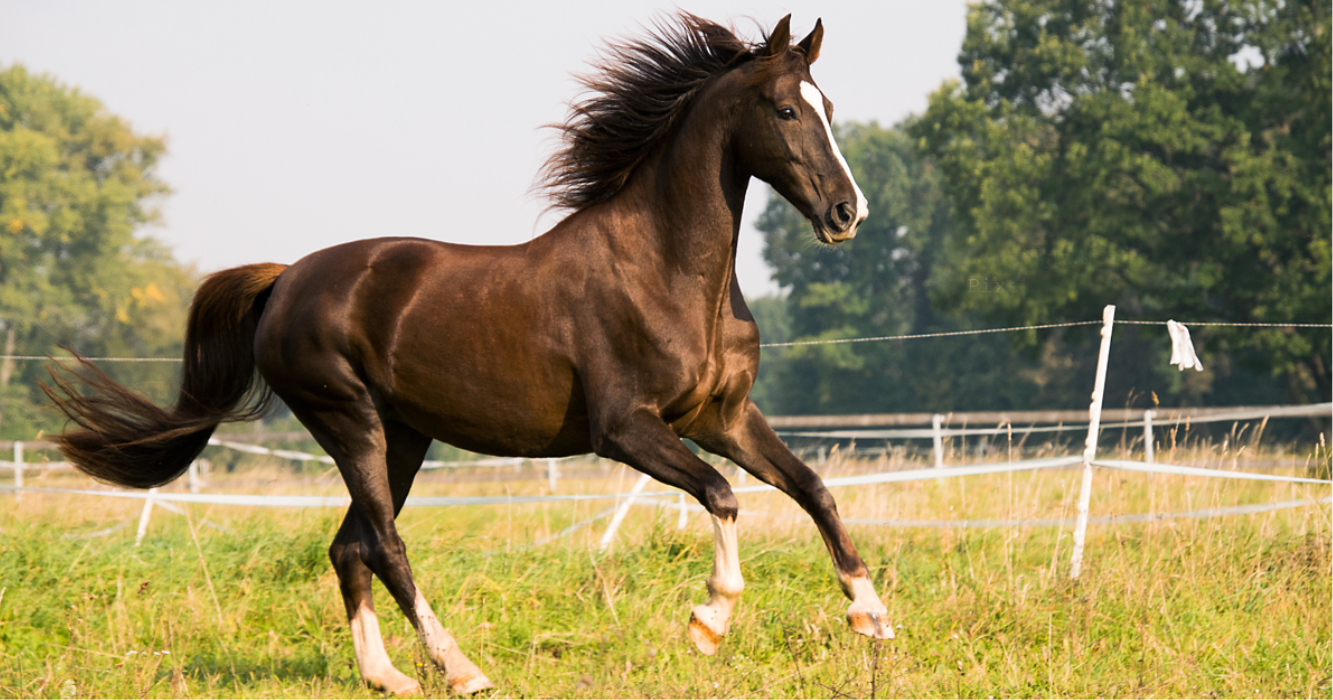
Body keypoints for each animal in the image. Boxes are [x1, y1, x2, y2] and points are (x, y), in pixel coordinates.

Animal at [44, 13, 893, 695]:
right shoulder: (626, 429)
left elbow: (812, 488)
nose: (846, 213)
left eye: (828, 107)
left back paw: (386, 676)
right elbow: (721, 495)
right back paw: (460, 668)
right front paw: (708, 621)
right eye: (785, 108)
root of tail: (286, 280)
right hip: (349, 421)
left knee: (348, 546)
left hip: (403, 436)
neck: (666, 272)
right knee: (384, 544)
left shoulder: (723, 417)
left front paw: (871, 615)